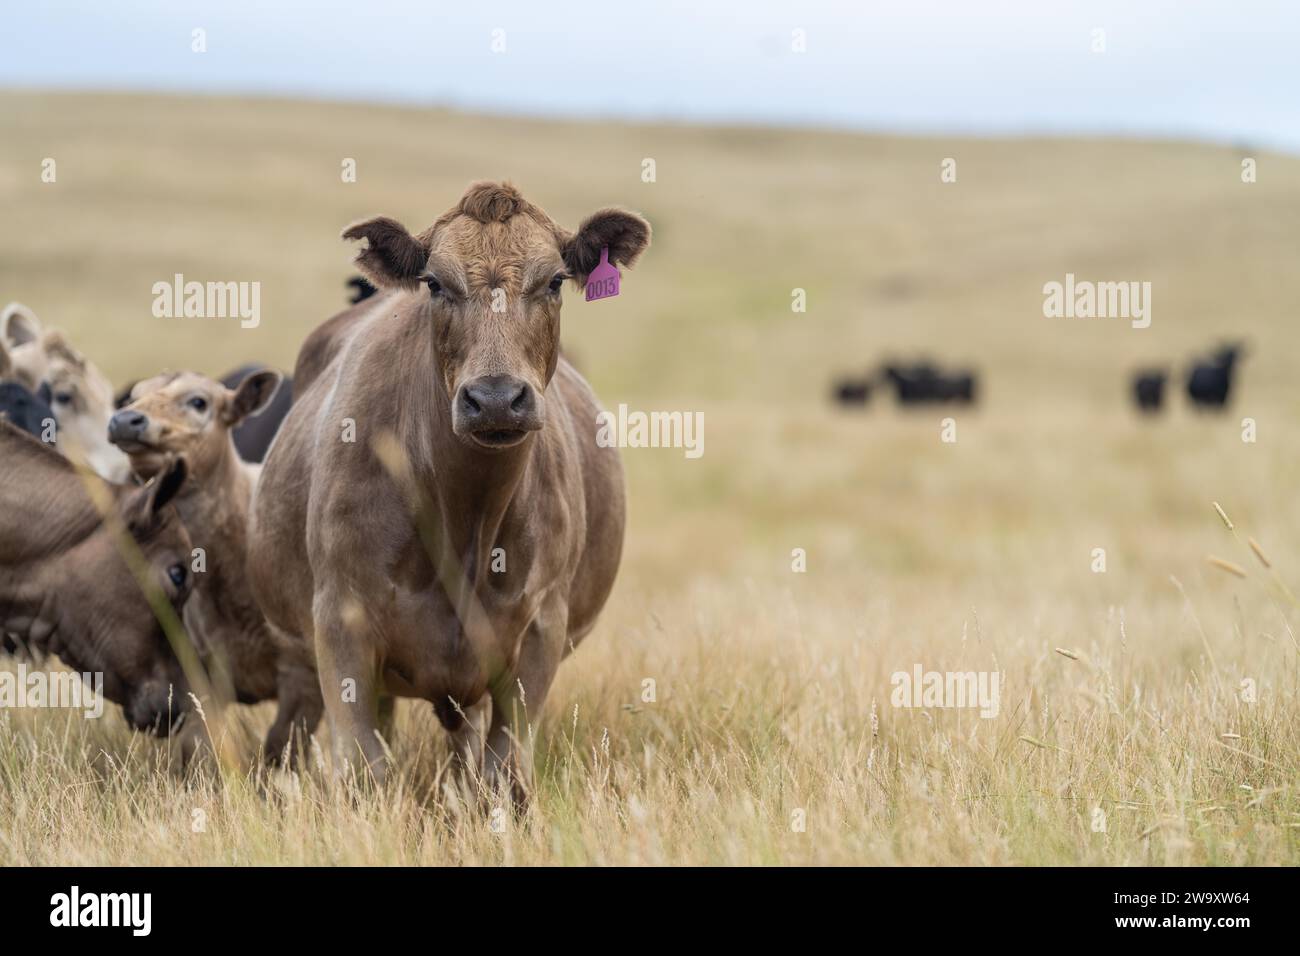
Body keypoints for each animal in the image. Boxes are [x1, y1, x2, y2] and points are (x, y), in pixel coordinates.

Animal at [108, 370, 322, 763]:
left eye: (198, 401)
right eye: (132, 397)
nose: (125, 420)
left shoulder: (304, 676)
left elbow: (282, 747)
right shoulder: (199, 672)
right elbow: (198, 744)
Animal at [248, 181, 649, 803]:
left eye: (555, 281)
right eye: (435, 283)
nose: (496, 398)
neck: (466, 517)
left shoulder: (541, 628)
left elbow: (505, 770)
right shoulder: (340, 622)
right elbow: (364, 767)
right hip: (300, 660)